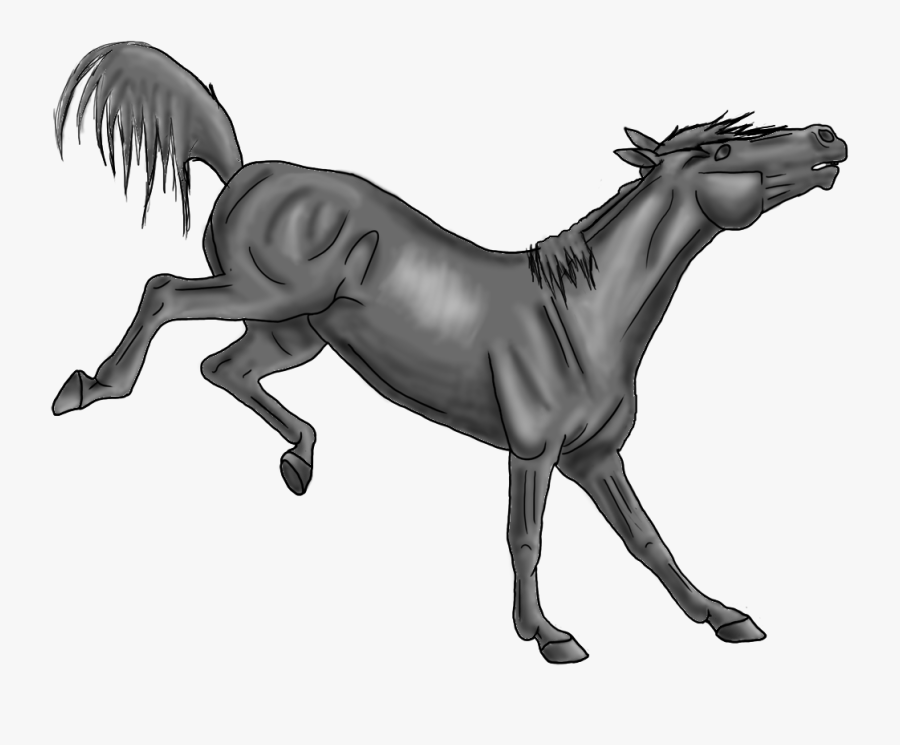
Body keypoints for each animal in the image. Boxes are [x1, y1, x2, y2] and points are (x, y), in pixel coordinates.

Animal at [51, 42, 847, 664]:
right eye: (723, 151)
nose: (828, 139)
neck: (581, 314)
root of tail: (250, 169)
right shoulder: (533, 452)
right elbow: (525, 536)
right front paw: (549, 636)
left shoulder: (597, 457)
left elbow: (648, 539)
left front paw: (726, 617)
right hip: (265, 294)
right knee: (164, 294)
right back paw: (86, 387)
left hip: (294, 331)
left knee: (225, 368)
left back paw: (300, 460)